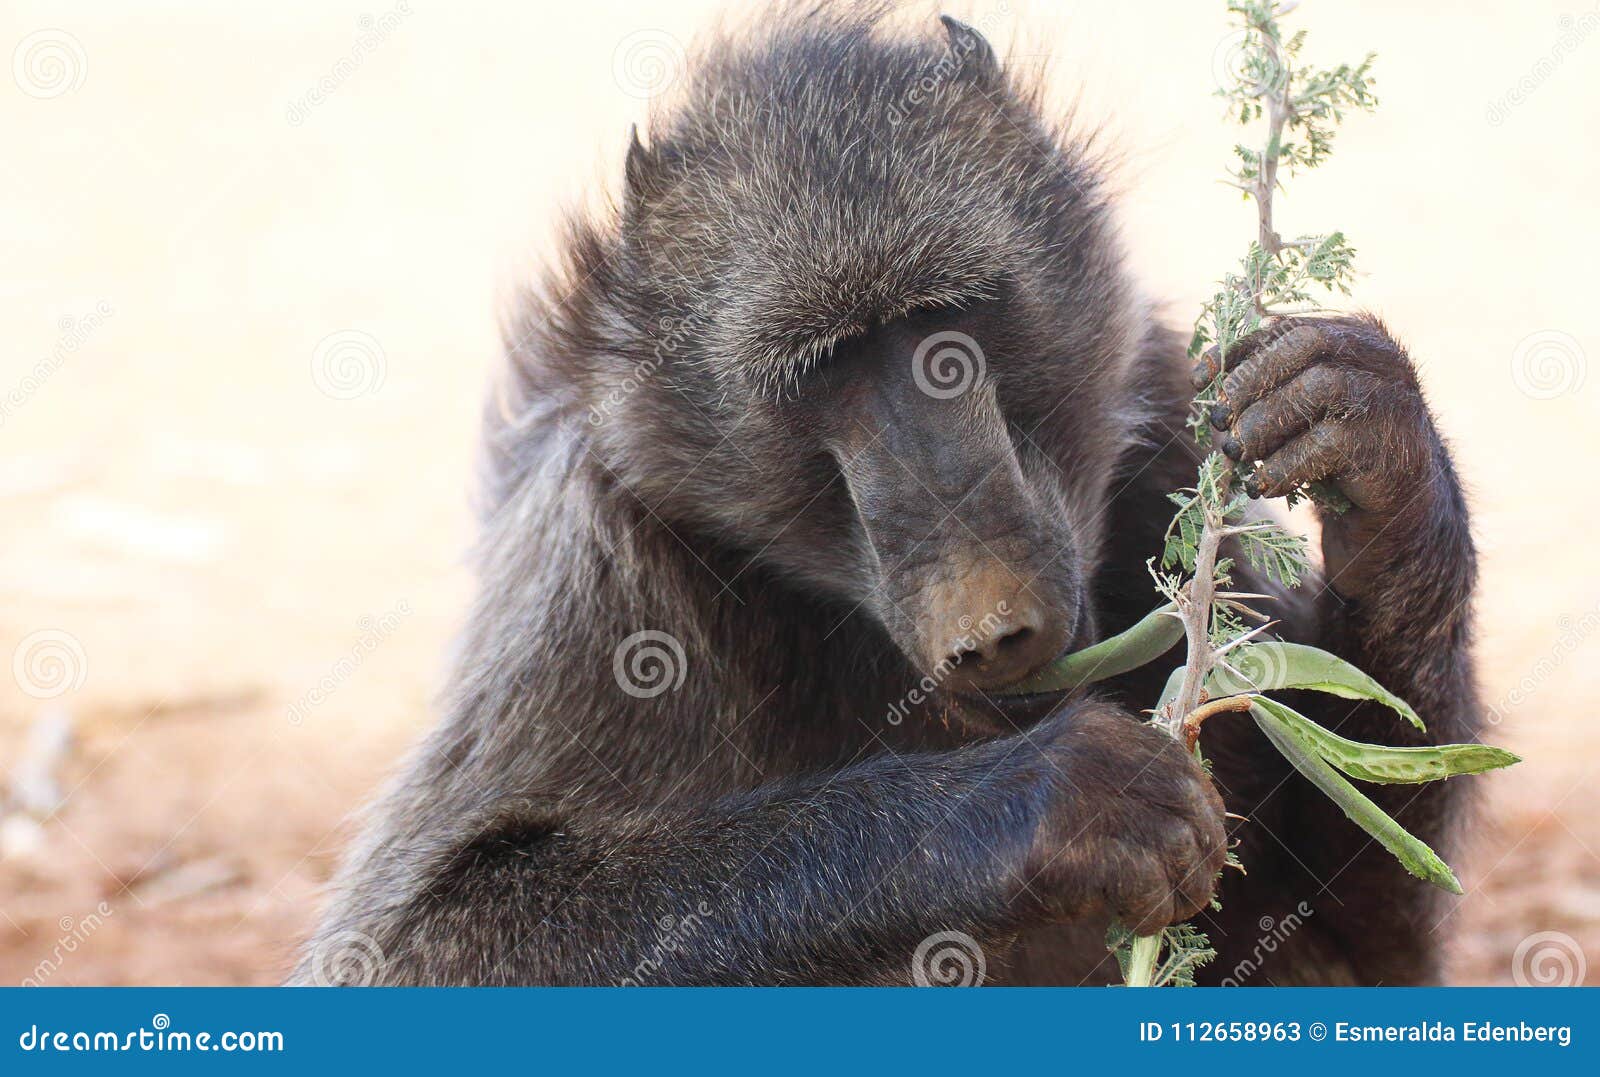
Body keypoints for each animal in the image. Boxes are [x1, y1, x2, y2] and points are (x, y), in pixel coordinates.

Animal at [291, 4, 1479, 987]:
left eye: (943, 328)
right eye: (826, 368)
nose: (994, 630)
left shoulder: (1173, 435)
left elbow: (1349, 940)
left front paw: (1367, 442)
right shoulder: (606, 544)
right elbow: (404, 944)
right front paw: (1045, 803)